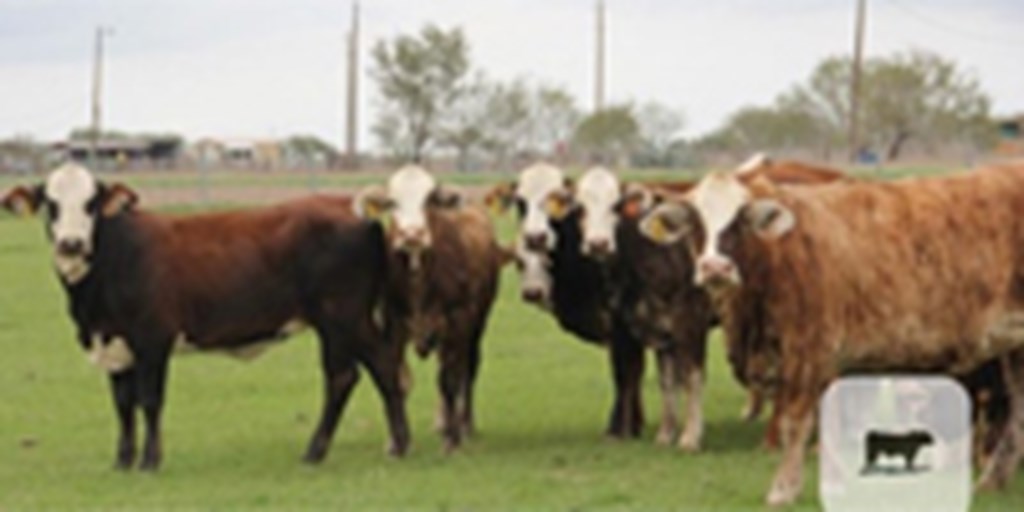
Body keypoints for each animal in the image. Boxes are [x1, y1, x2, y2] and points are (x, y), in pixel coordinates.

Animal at [0, 162, 410, 470]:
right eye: (50, 203)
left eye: (91, 203)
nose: (71, 243)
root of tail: (349, 205)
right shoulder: (114, 343)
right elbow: (123, 404)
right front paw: (122, 462)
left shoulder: (153, 339)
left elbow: (149, 400)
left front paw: (149, 461)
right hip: (349, 321)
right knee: (380, 368)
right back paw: (396, 444)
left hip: (341, 317)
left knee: (347, 376)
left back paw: (321, 451)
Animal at [353, 165, 503, 452]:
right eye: (391, 202)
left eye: (430, 200)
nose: (412, 234)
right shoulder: (391, 322)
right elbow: (397, 378)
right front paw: (397, 441)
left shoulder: (458, 320)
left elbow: (449, 380)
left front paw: (452, 440)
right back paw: (443, 421)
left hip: (477, 325)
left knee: (467, 370)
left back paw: (463, 424)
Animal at [638, 164, 1024, 505]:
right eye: (695, 221)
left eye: (741, 219)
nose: (714, 267)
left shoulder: (808, 349)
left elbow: (796, 421)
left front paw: (783, 489)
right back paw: (994, 477)